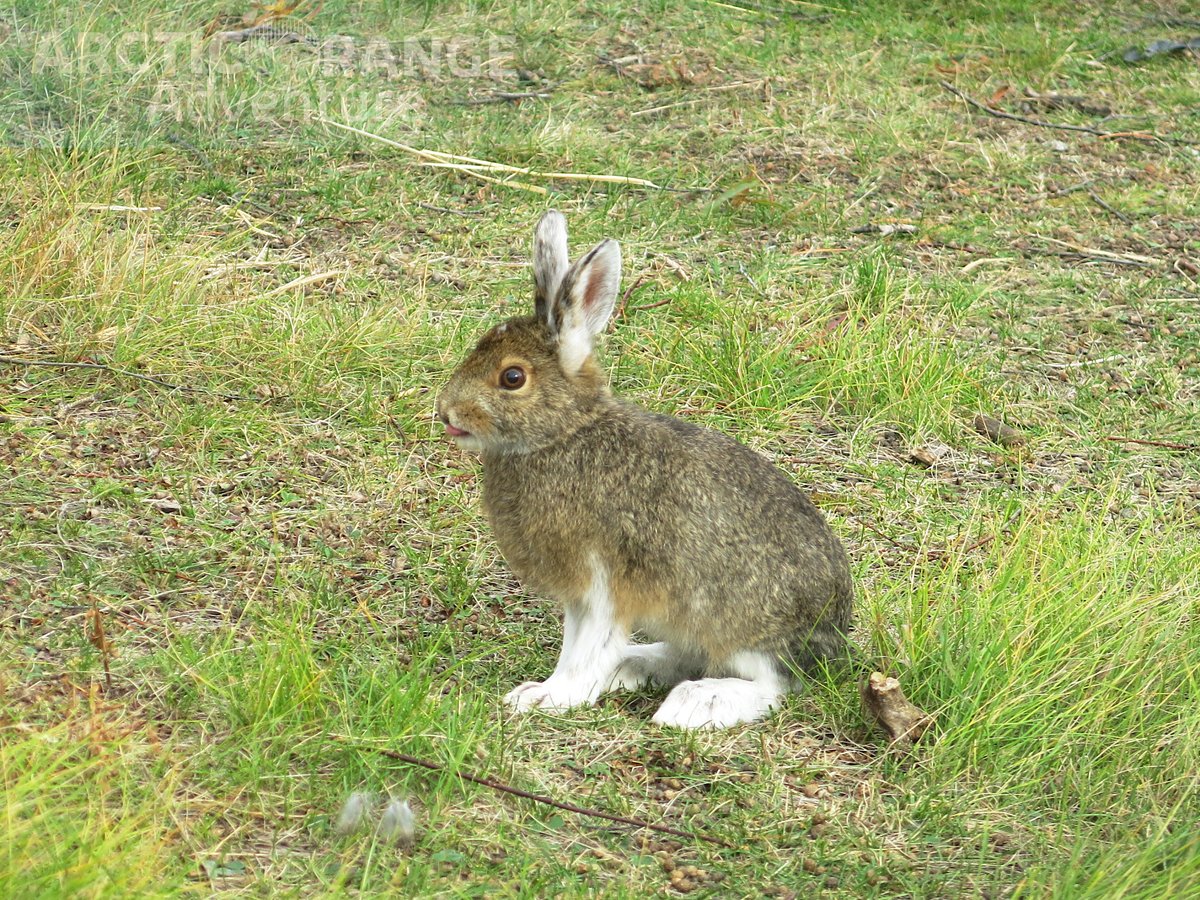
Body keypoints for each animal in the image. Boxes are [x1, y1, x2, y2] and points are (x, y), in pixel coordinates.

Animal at [435, 211, 853, 729]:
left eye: (512, 377)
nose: (446, 412)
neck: (565, 433)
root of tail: (833, 640)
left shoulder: (601, 579)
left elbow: (586, 647)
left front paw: (548, 697)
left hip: (739, 622)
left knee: (772, 684)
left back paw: (695, 702)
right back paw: (634, 666)